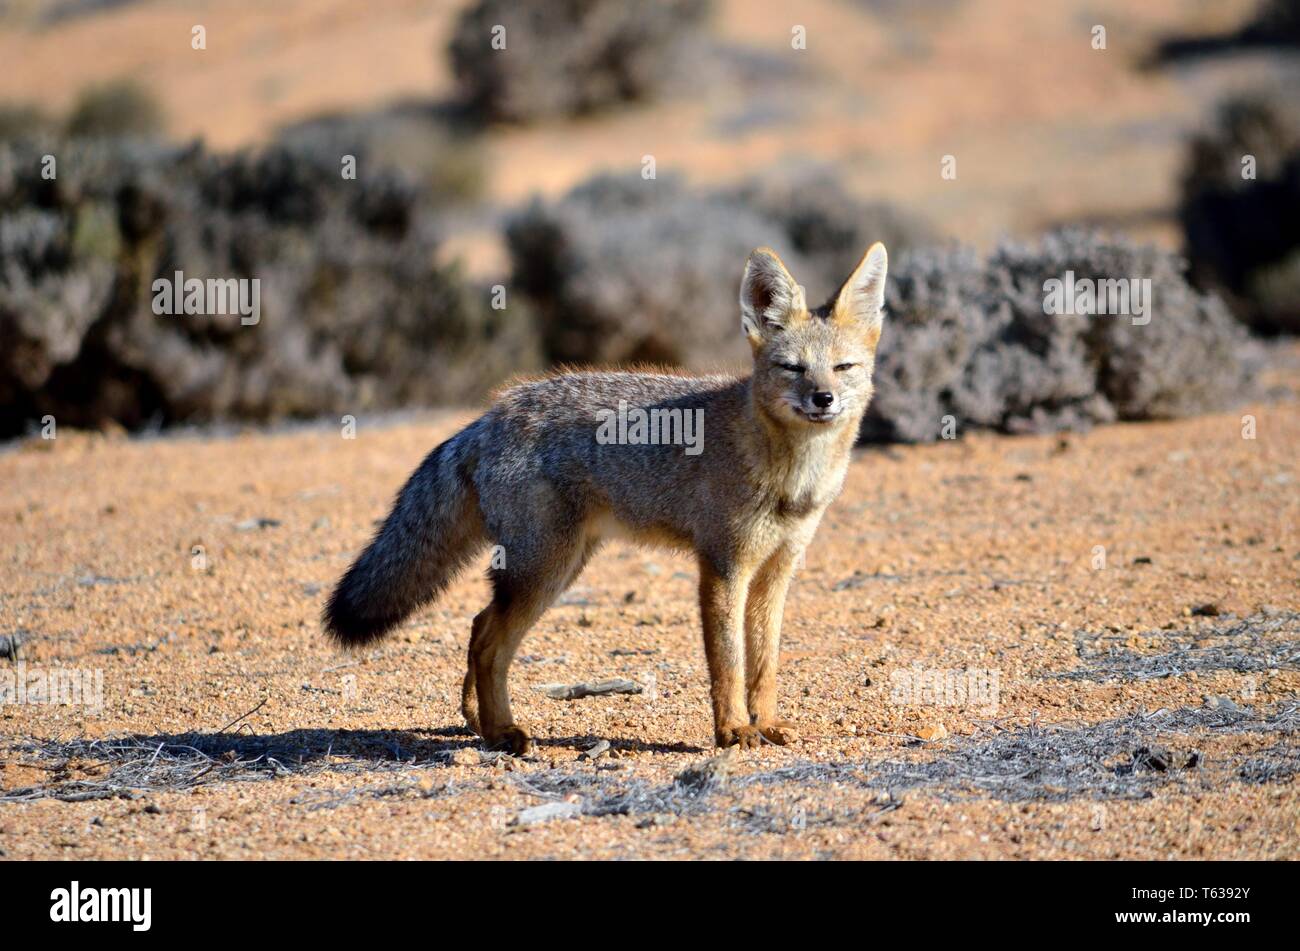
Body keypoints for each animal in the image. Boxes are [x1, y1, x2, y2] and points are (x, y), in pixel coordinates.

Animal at [324, 243, 888, 753]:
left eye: (843, 367)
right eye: (794, 368)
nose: (823, 399)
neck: (791, 476)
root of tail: (491, 414)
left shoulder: (777, 570)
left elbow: (764, 662)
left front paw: (766, 723)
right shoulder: (723, 566)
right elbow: (728, 664)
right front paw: (732, 731)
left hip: (560, 567)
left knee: (480, 626)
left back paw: (480, 722)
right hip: (544, 569)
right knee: (488, 642)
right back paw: (504, 732)